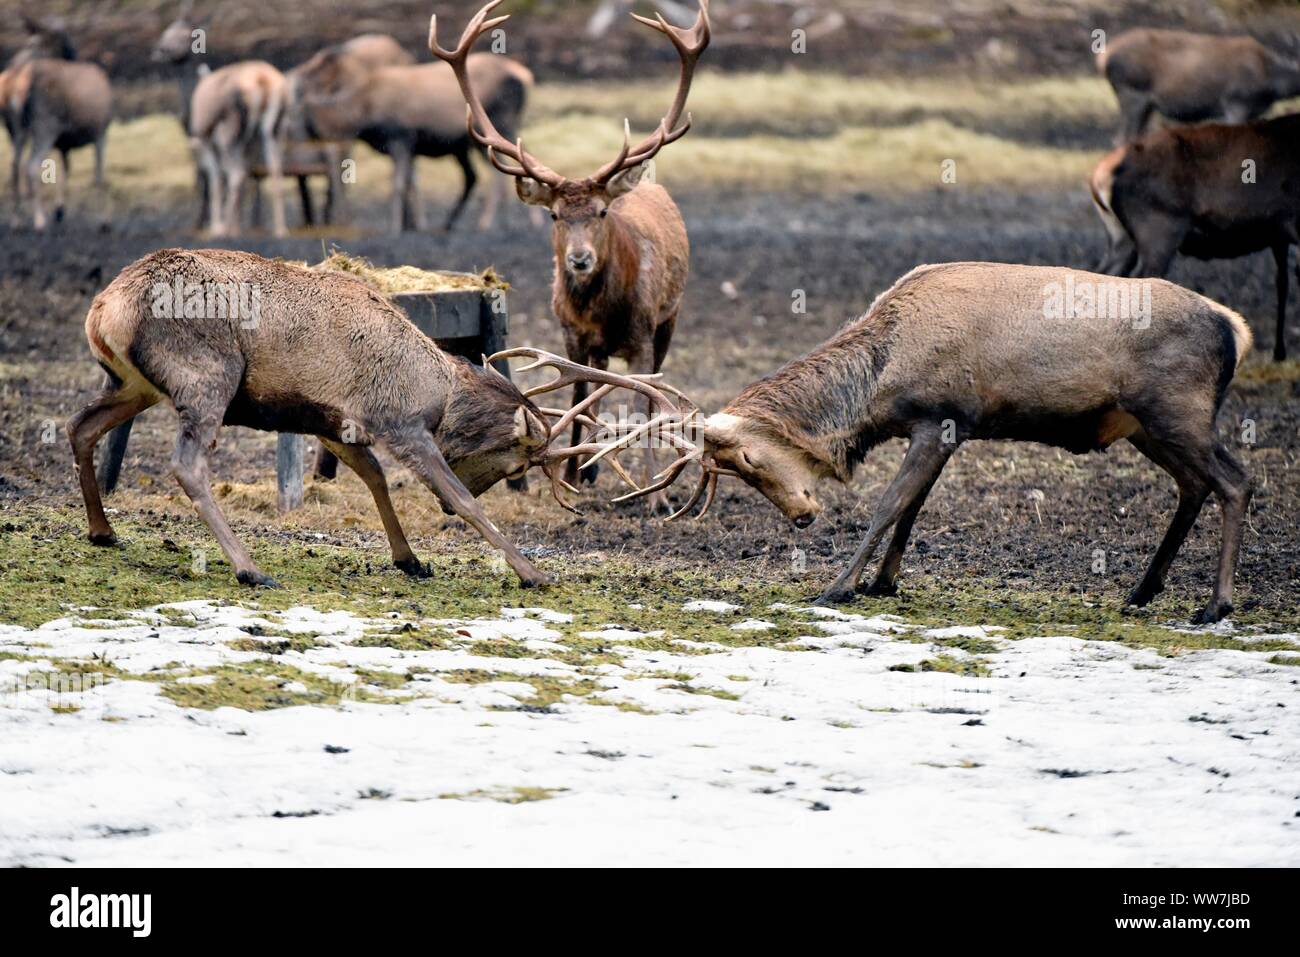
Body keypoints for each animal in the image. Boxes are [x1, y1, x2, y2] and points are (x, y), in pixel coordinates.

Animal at [67, 250, 683, 589]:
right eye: (517, 466)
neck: (438, 393)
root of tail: (105, 309)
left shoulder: (333, 422)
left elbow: (375, 477)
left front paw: (410, 559)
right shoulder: (401, 422)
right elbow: (463, 498)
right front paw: (532, 573)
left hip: (133, 384)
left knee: (80, 426)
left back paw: (103, 530)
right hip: (206, 375)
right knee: (186, 464)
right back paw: (250, 568)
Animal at [288, 32, 532, 233]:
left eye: (296, 116)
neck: (363, 116)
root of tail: (521, 78)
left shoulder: (400, 138)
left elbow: (398, 185)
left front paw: (396, 227)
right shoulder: (411, 145)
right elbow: (410, 183)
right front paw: (411, 224)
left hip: (499, 125)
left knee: (499, 173)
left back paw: (490, 222)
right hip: (472, 143)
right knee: (478, 175)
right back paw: (465, 222)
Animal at [431, 0, 708, 512]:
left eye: (602, 211)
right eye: (555, 215)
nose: (579, 259)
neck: (600, 311)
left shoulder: (642, 335)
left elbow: (643, 405)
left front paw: (655, 495)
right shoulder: (571, 335)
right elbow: (579, 389)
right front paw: (575, 474)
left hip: (670, 317)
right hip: (599, 346)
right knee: (594, 385)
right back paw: (590, 468)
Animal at [623, 262, 1255, 625]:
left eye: (748, 459)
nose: (802, 517)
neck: (880, 384)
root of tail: (1235, 328)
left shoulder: (941, 417)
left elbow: (890, 505)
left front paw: (837, 586)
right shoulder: (943, 430)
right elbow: (913, 509)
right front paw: (883, 582)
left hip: (1176, 411)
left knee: (1235, 481)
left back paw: (1214, 604)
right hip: (1149, 426)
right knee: (1195, 484)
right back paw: (1142, 591)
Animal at [1090, 113, 1299, 360]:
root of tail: (1099, 176)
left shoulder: (1279, 235)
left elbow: (1282, 282)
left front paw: (1280, 351)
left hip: (1121, 238)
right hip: (1160, 230)